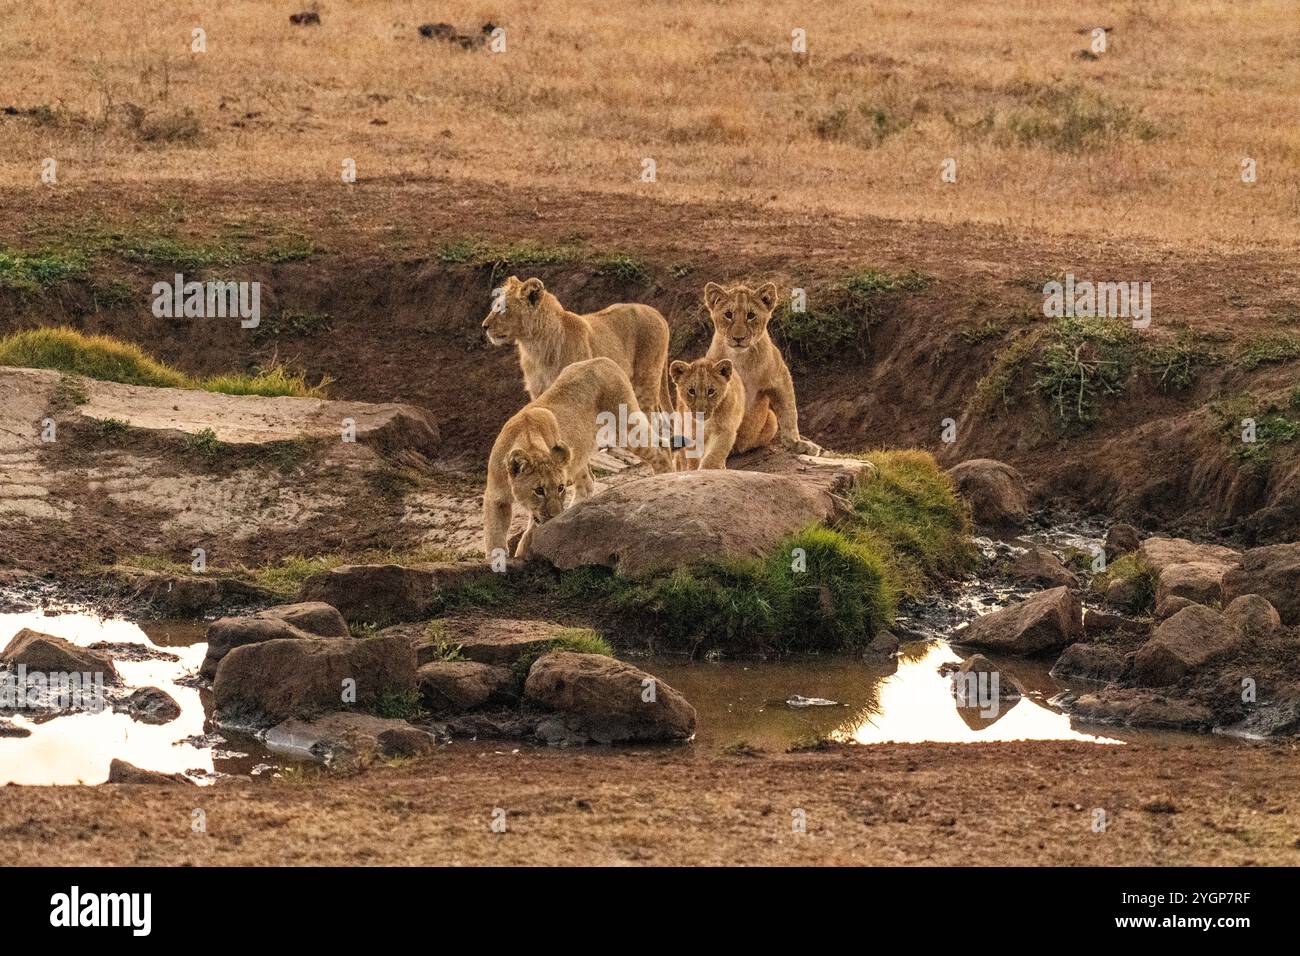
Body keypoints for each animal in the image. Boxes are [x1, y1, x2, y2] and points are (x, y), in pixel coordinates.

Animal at [482, 275, 673, 417]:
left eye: (503, 308)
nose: (484, 326)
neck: (535, 346)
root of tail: (657, 313)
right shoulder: (538, 392)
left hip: (646, 381)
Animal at [483, 357, 673, 559]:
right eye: (539, 490)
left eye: (560, 488)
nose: (555, 517)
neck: (528, 440)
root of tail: (601, 360)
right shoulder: (495, 496)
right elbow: (494, 534)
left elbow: (530, 531)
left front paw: (523, 553)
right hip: (579, 454)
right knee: (588, 482)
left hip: (626, 427)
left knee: (660, 449)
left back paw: (666, 478)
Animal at [702, 281, 822, 457]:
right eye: (728, 314)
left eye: (751, 315)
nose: (738, 338)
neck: (740, 359)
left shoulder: (781, 378)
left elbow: (789, 413)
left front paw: (797, 443)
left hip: (770, 419)